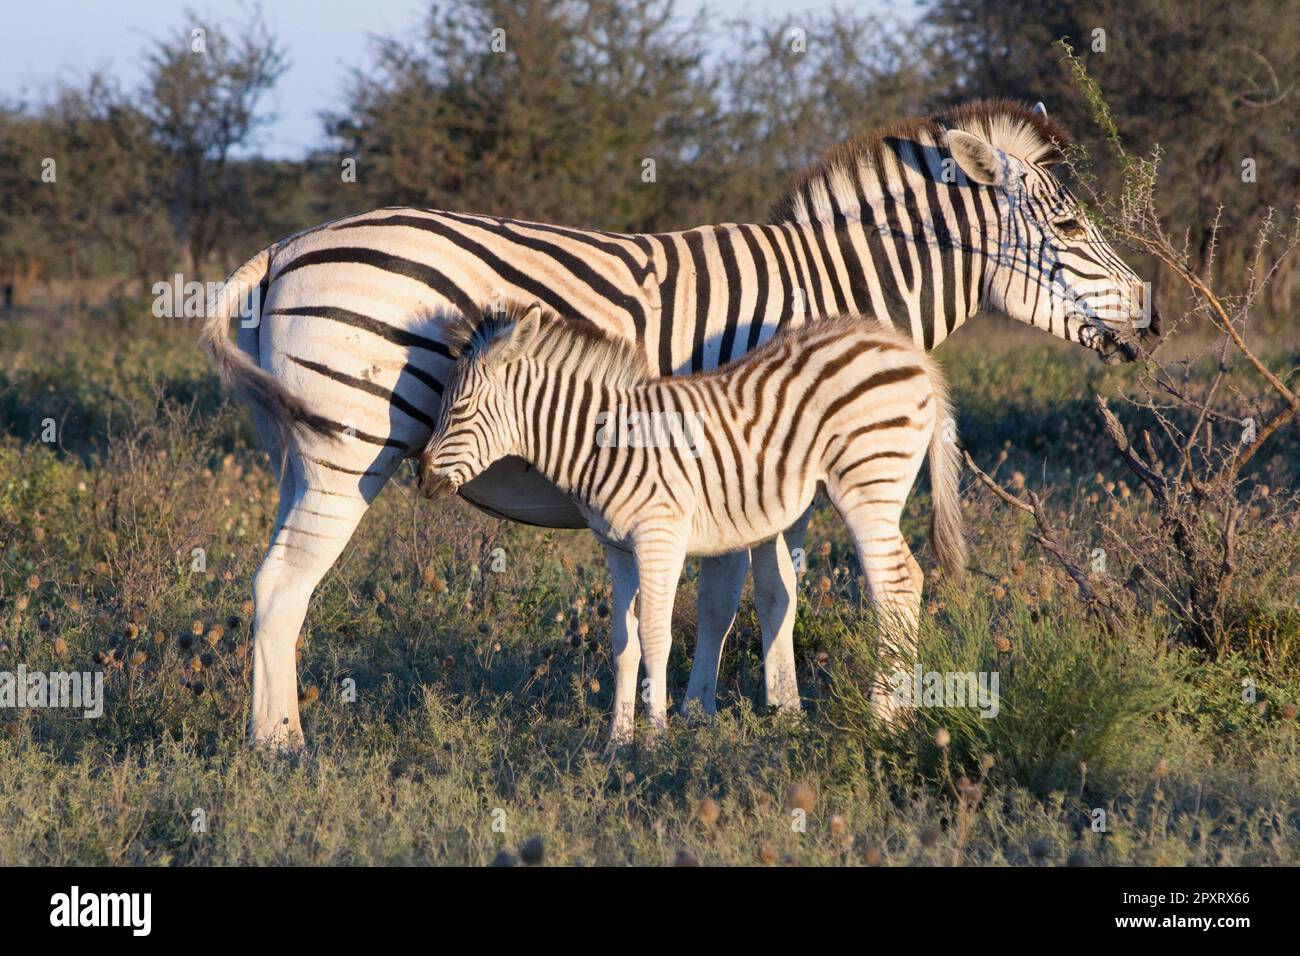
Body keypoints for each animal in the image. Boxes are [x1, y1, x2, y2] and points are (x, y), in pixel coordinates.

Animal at [419, 302, 963, 740]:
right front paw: (617, 740)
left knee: (894, 586)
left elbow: (656, 637)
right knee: (910, 581)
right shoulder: (616, 548)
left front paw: (656, 738)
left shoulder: (659, 537)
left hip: (868, 485)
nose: (422, 479)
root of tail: (905, 350)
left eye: (460, 408)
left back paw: (881, 718)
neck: (606, 443)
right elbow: (623, 641)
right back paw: (903, 711)